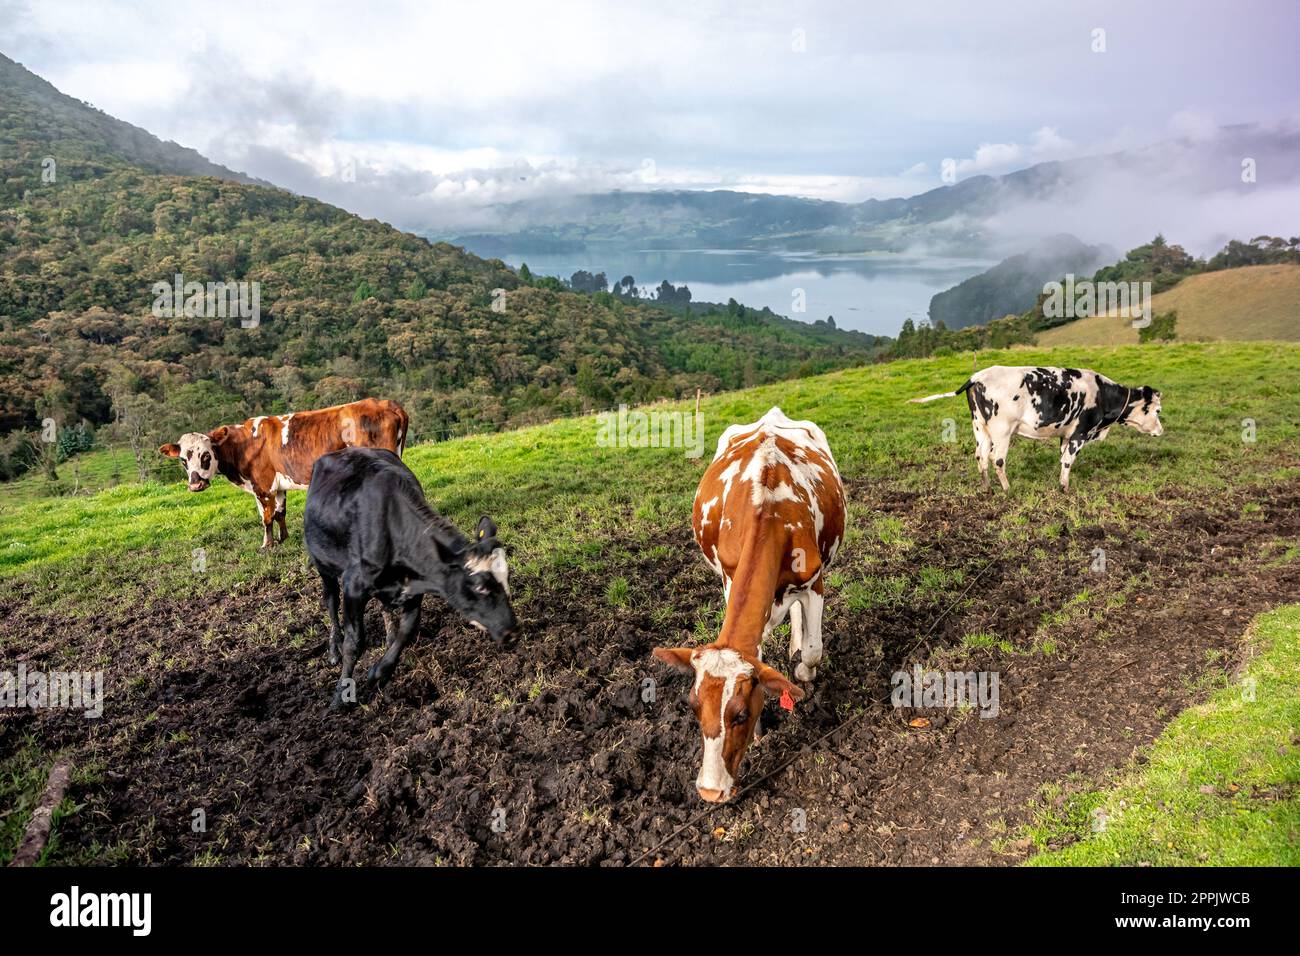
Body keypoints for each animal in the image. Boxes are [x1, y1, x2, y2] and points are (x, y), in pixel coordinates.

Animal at [159, 398, 408, 549]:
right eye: (183, 460)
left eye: (206, 455)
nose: (195, 484)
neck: (243, 444)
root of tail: (385, 403)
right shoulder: (278, 487)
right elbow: (280, 513)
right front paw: (283, 538)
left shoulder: (263, 486)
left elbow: (266, 517)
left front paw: (267, 545)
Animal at [303, 447, 518, 711]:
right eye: (480, 587)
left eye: (506, 578)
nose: (512, 632)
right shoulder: (354, 585)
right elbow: (354, 642)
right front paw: (341, 696)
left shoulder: (414, 586)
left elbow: (408, 630)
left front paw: (380, 672)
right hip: (325, 567)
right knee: (331, 603)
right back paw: (333, 649)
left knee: (385, 609)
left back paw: (388, 638)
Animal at [652, 407, 846, 803]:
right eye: (693, 706)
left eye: (740, 714)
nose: (710, 791)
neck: (768, 509)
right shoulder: (729, 578)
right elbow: (757, 650)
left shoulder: (814, 581)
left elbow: (814, 650)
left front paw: (802, 673)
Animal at [910, 366, 1163, 491]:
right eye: (1158, 411)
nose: (1161, 431)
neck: (1101, 394)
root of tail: (978, 376)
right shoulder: (1080, 433)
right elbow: (1068, 460)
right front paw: (1065, 488)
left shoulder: (1066, 434)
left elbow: (1062, 459)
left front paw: (1061, 482)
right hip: (1002, 430)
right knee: (996, 459)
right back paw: (1007, 489)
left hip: (980, 427)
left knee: (980, 455)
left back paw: (987, 488)